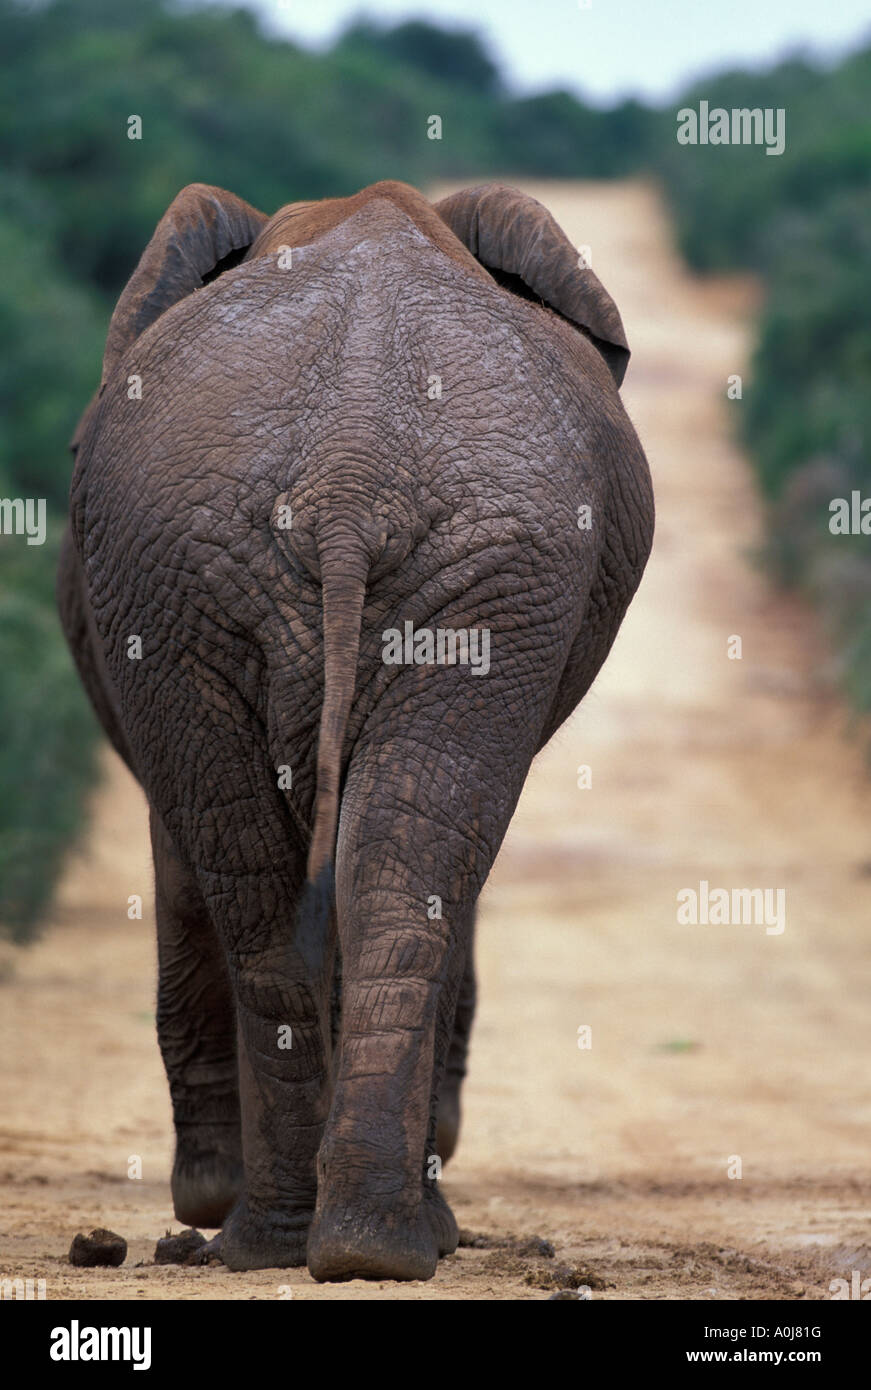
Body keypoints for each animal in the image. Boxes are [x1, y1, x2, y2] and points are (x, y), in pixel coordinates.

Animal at [57, 178, 654, 1282]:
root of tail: (349, 473)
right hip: (214, 570)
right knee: (354, 860)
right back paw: (339, 1241)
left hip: (432, 572)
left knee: (310, 863)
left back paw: (320, 1241)